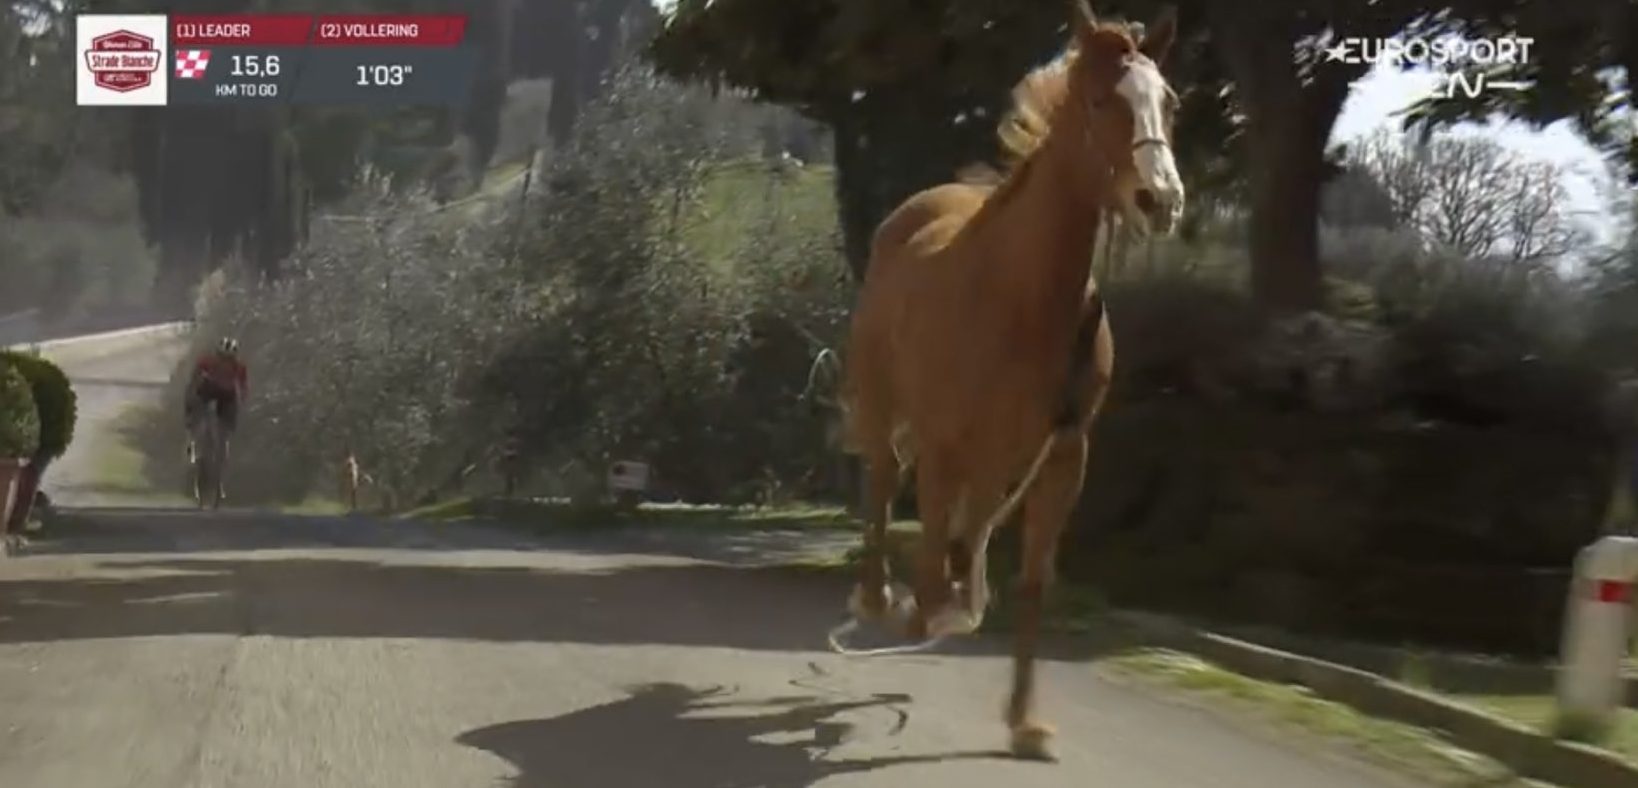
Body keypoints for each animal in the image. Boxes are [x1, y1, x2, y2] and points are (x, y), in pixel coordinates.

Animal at [833, 1, 1184, 760]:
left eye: (1168, 101)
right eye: (1099, 100)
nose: (1160, 200)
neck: (1021, 296)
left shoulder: (1063, 454)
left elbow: (1030, 580)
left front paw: (1025, 723)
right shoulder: (945, 441)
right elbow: (934, 562)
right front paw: (929, 610)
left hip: (996, 454)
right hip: (886, 406)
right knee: (883, 478)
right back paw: (877, 597)